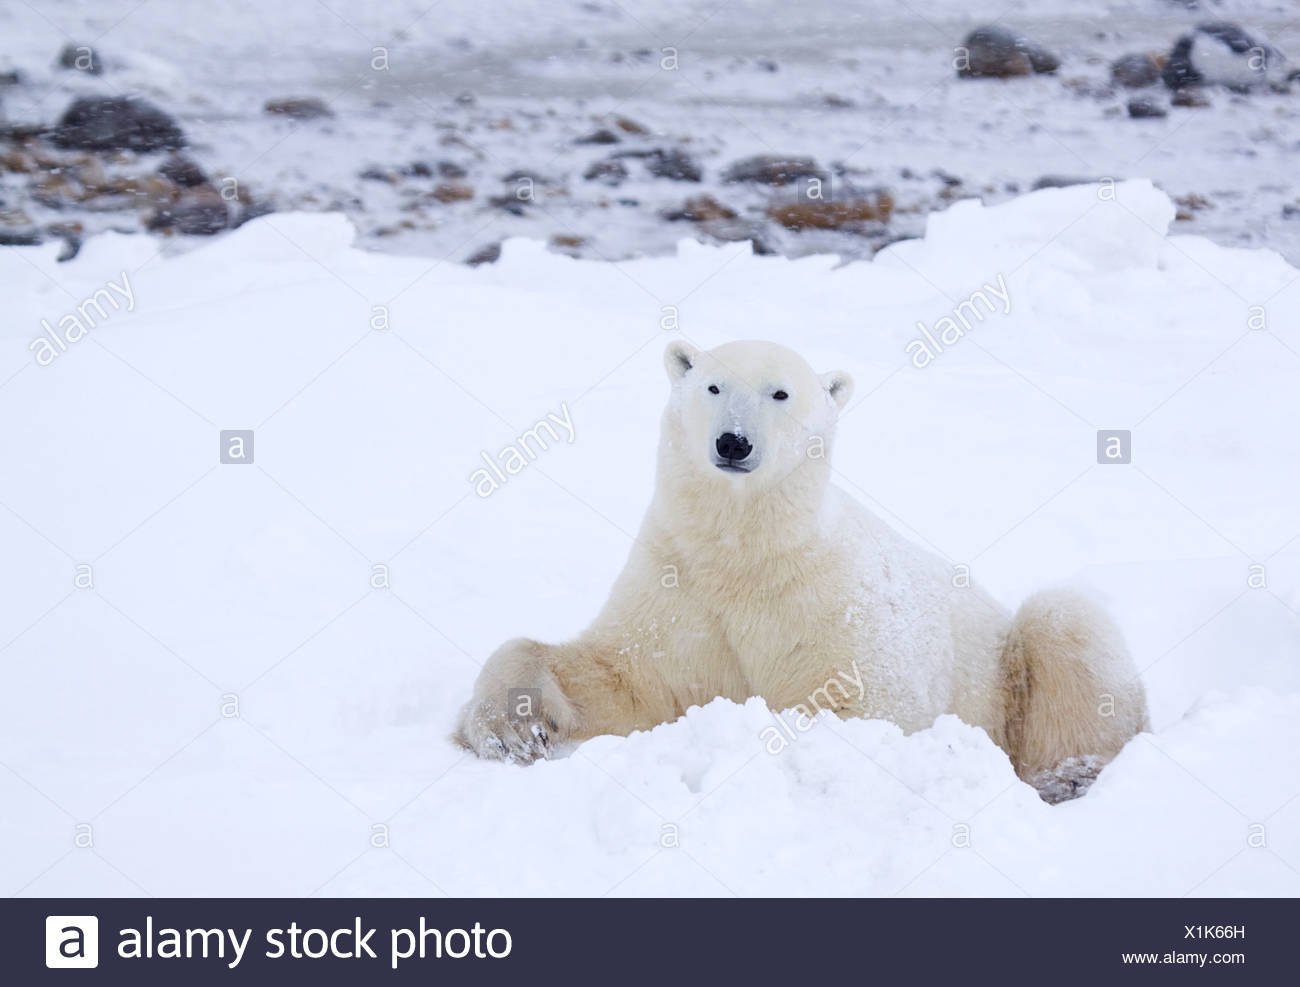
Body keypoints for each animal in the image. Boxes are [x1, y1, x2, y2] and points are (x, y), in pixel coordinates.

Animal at [453, 340, 1149, 802]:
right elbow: (622, 677)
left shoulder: (837, 604)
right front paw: (513, 731)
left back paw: (1067, 776)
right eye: (712, 386)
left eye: (780, 392)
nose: (733, 442)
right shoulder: (677, 588)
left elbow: (871, 704)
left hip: (1009, 666)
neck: (748, 555)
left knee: (1065, 624)